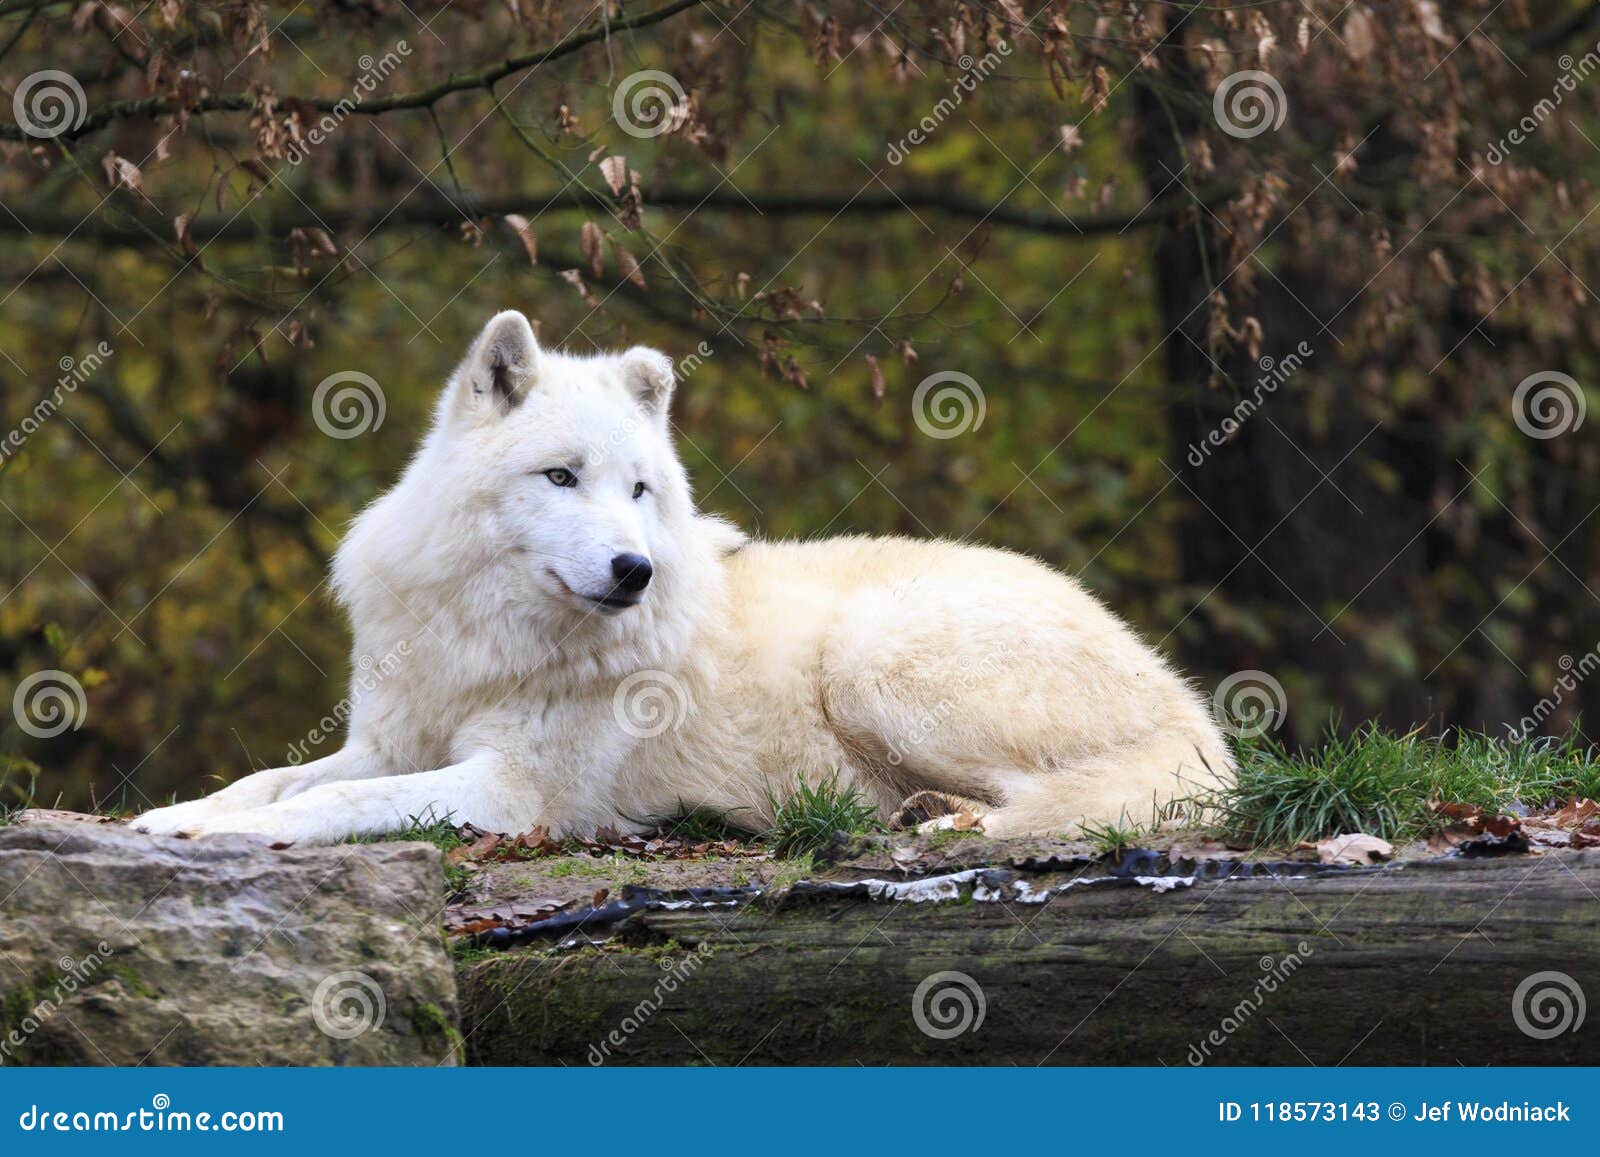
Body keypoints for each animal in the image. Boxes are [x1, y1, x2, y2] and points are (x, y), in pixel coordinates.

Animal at [133, 310, 1233, 845]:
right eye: (562, 477)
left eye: (638, 489)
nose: (634, 569)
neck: (488, 635)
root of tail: (1193, 706)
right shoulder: (387, 741)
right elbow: (276, 779)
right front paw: (176, 814)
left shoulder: (512, 787)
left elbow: (324, 807)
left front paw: (214, 831)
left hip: (873, 659)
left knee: (1082, 796)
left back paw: (949, 821)